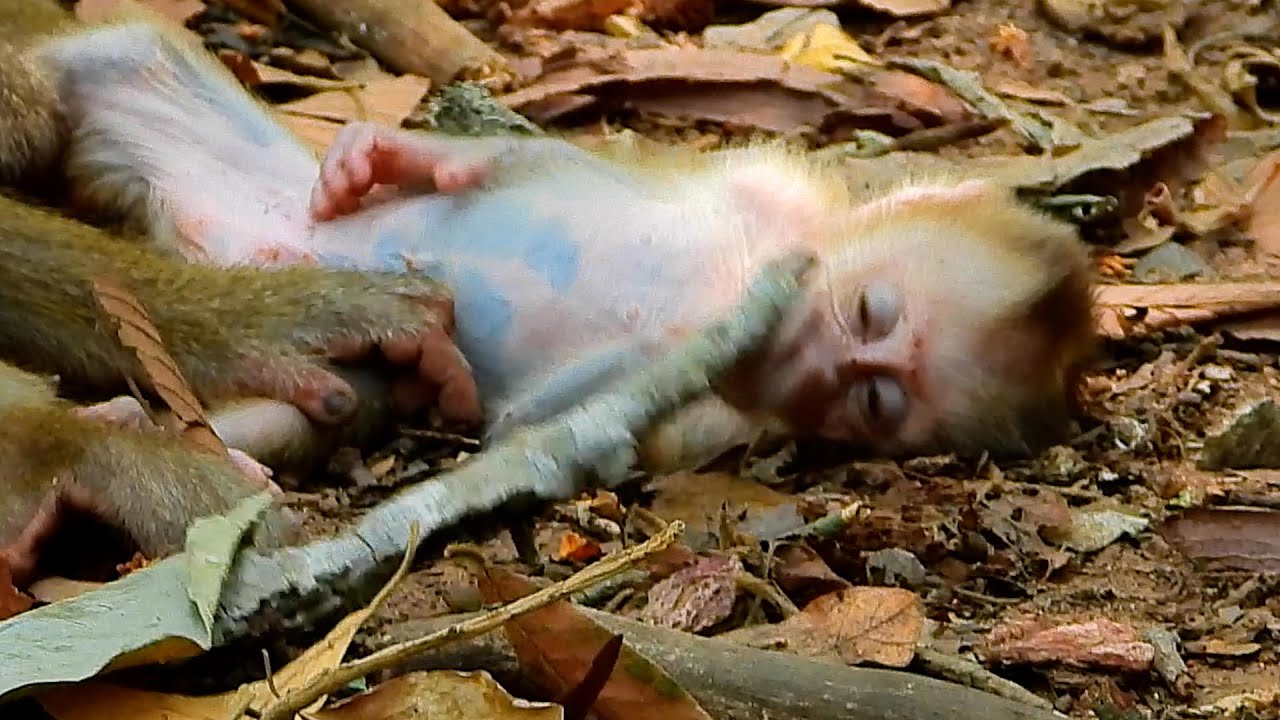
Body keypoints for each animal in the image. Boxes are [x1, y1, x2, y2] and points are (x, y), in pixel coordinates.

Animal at [31, 16, 1097, 471]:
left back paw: (153, 431)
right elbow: (549, 163)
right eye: (869, 310)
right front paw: (400, 156)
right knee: (108, 57)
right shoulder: (775, 186)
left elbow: (549, 429)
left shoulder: (734, 426)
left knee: (324, 402)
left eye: (875, 403)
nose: (814, 362)